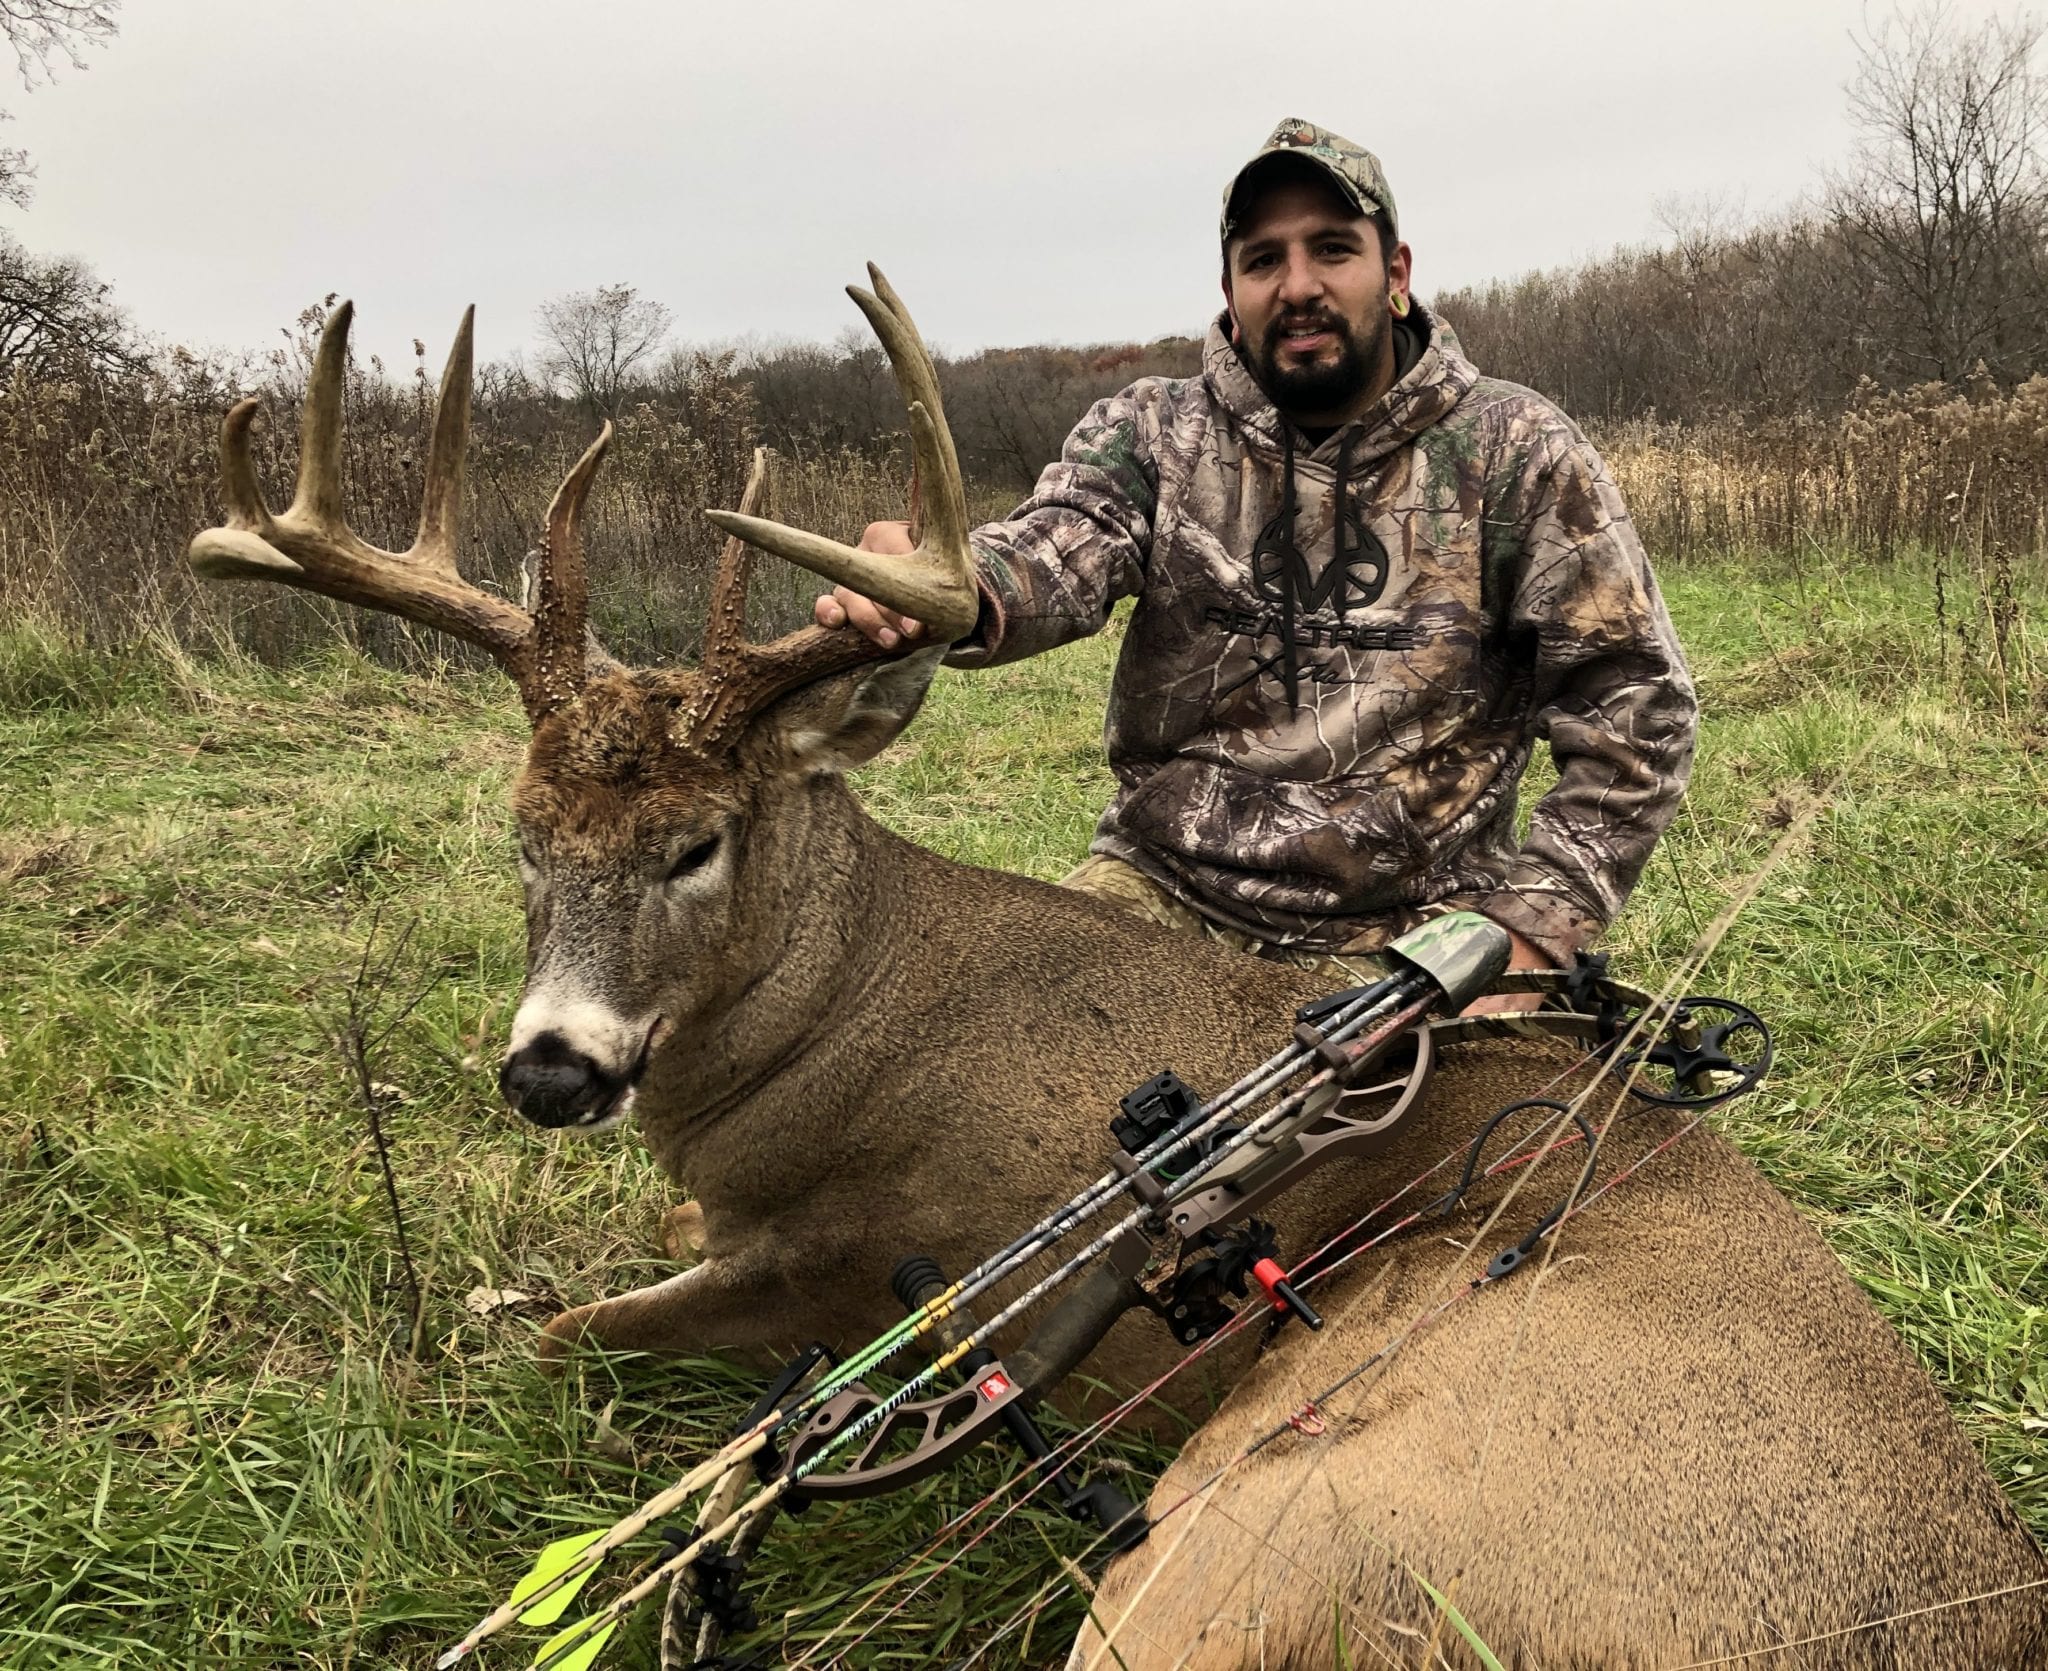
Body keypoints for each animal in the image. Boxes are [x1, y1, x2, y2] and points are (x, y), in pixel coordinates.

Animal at [187, 276, 2046, 1669]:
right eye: (520, 829)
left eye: (697, 841)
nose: (549, 1067)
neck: (815, 1018)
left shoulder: (836, 1270)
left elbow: (562, 1334)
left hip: (1267, 1532)